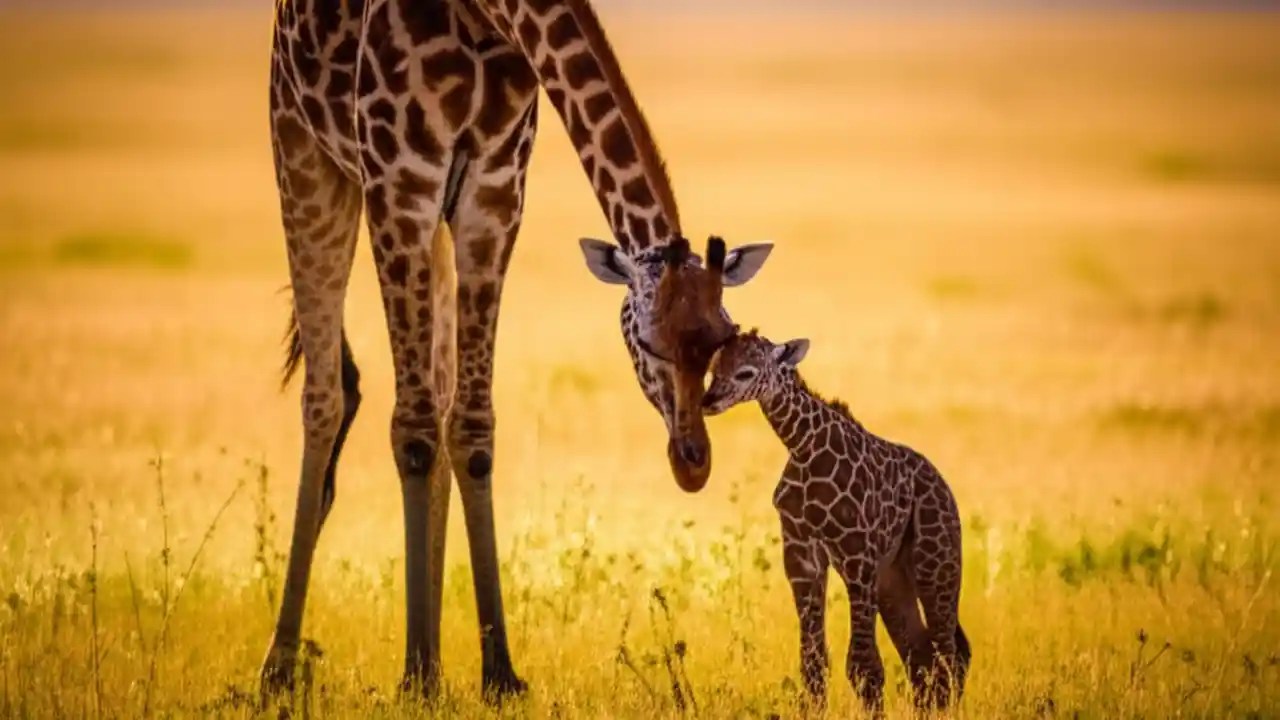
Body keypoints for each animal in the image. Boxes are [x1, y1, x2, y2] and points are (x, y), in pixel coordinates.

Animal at [263, 0, 776, 699]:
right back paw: (279, 667)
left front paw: (495, 671)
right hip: (301, 146)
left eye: (724, 339)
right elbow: (413, 428)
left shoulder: (494, 191)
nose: (693, 463)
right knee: (325, 398)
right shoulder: (400, 179)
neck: (489, 19)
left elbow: (470, 427)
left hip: (435, 224)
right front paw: (415, 674)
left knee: (440, 395)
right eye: (647, 344)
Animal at [703, 331, 970, 711]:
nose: (708, 401)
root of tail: (945, 489)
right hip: (893, 578)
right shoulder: (801, 556)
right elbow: (813, 663)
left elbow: (864, 667)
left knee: (949, 652)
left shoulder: (857, 557)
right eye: (714, 368)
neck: (804, 448)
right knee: (920, 654)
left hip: (936, 561)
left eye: (746, 372)